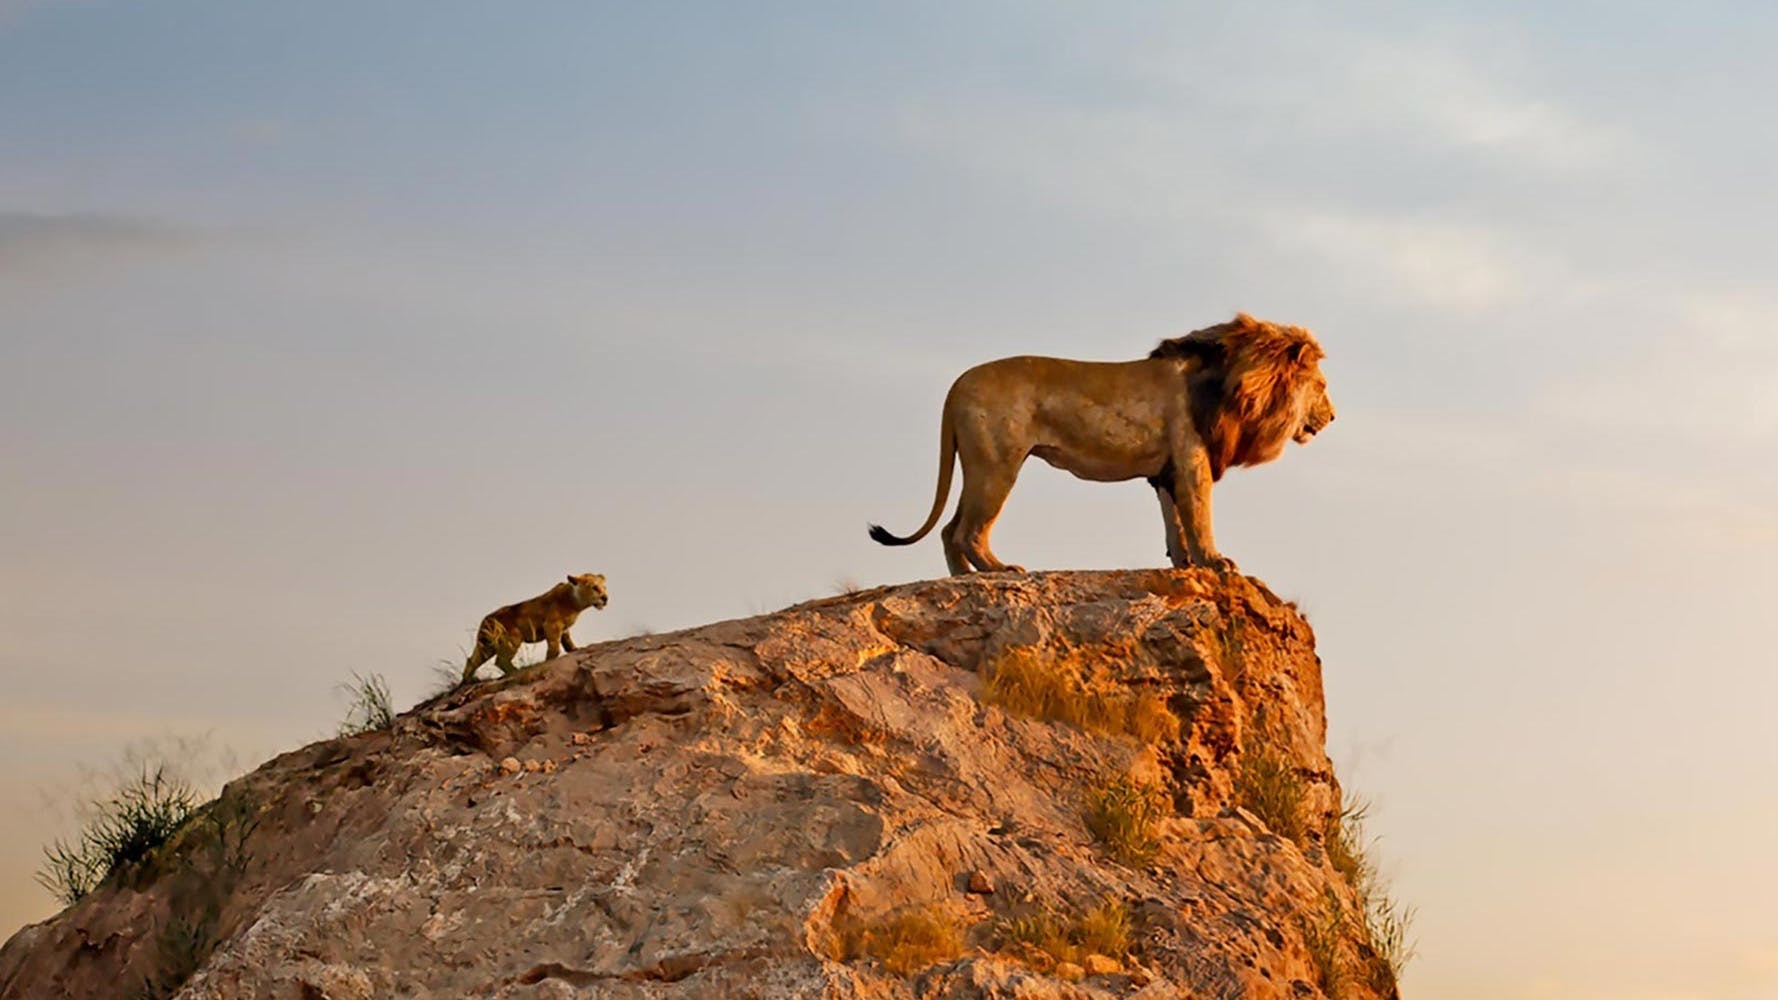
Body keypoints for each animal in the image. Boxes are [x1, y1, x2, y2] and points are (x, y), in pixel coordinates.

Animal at [461, 573, 609, 683]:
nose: (605, 598)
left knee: (471, 661)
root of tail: (487, 620)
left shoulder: (564, 629)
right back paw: (516, 671)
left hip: (486, 646)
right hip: (514, 637)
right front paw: (549, 660)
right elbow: (554, 646)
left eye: (605, 587)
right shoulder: (552, 625)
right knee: (500, 660)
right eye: (594, 587)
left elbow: (567, 641)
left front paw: (575, 649)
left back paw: (469, 681)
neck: (575, 602)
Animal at [868, 314, 1334, 574]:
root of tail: (956, 385)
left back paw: (968, 579)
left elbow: (1175, 524)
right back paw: (1000, 571)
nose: (1332, 417)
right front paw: (1215, 562)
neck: (1231, 384)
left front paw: (1184, 565)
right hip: (999, 466)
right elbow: (1199, 518)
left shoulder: (1167, 471)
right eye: (1322, 386)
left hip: (977, 465)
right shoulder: (1192, 461)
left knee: (949, 530)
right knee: (967, 532)